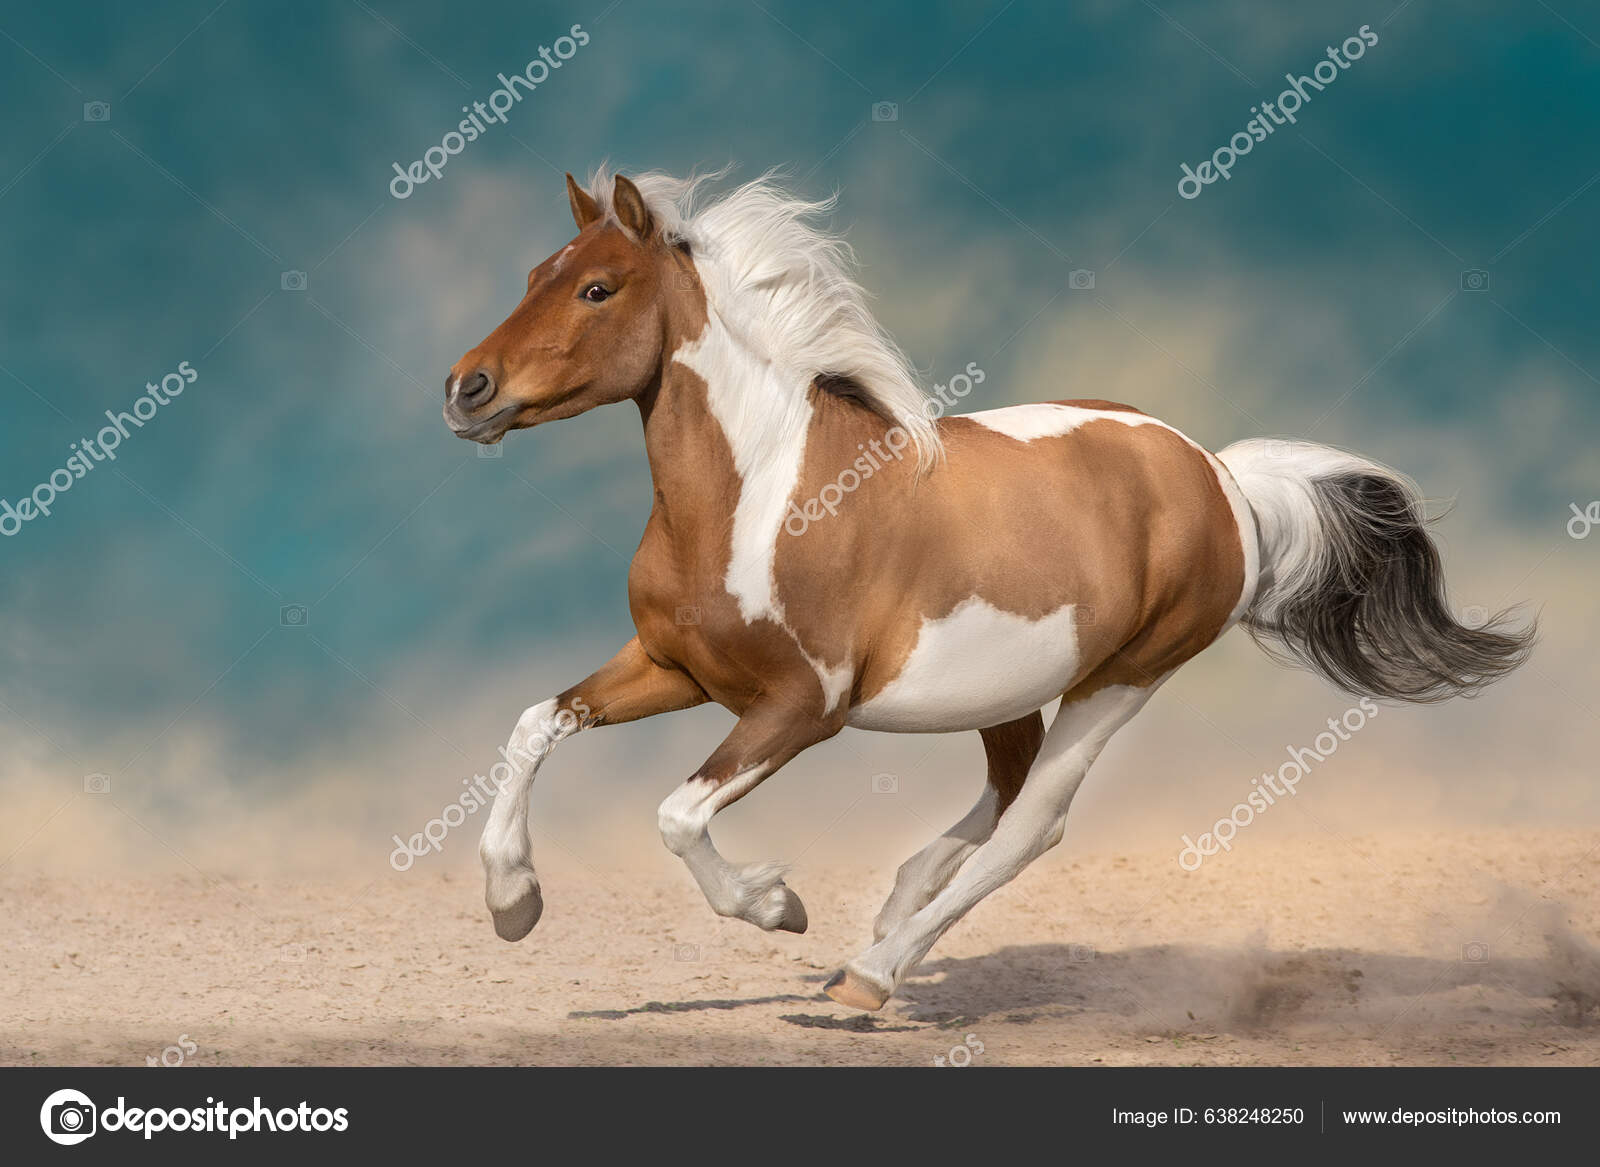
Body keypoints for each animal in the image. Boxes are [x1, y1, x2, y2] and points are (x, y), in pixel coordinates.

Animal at [442, 168, 1534, 1011]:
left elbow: (676, 813)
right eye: (534, 274)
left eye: (596, 288)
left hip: (1121, 679)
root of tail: (1221, 478)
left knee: (1030, 826)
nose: (466, 390)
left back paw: (871, 974)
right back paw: (890, 914)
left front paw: (776, 906)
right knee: (1002, 798)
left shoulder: (802, 706)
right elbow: (536, 723)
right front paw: (512, 904)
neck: (761, 496)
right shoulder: (675, 668)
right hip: (1009, 690)